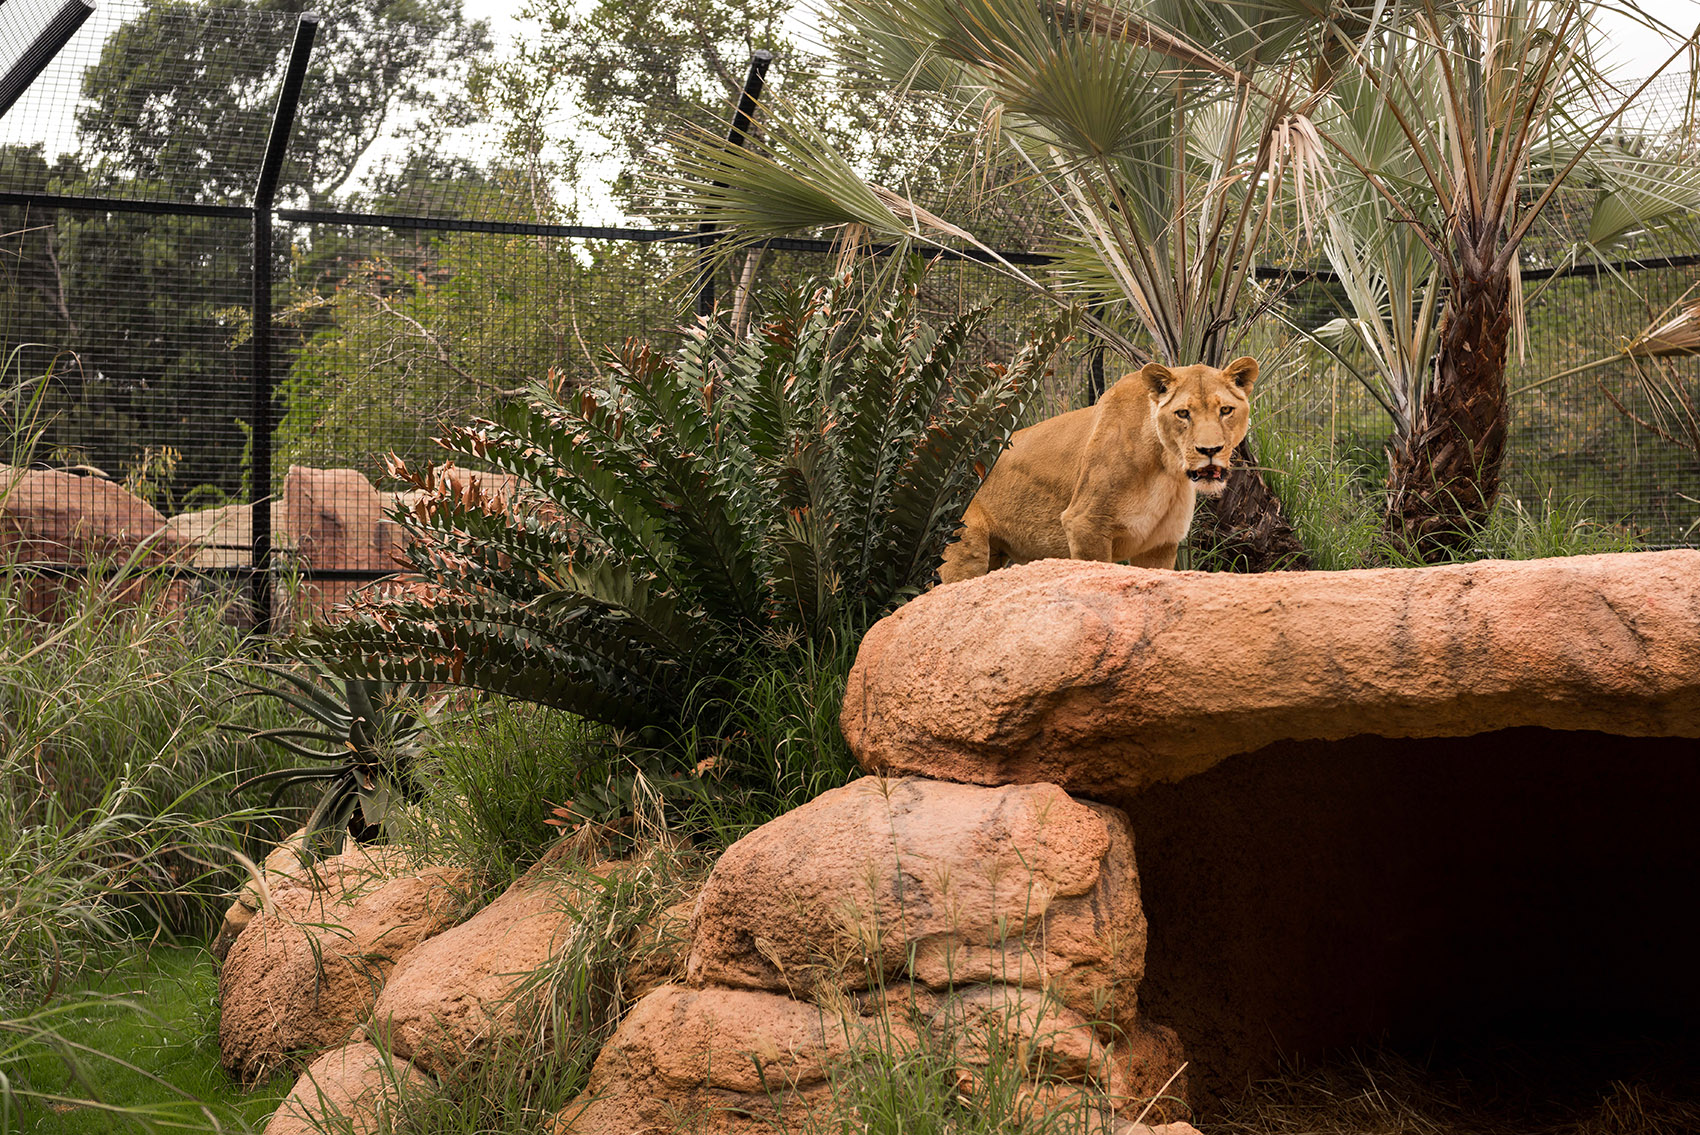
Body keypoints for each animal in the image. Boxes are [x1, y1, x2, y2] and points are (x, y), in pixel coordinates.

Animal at [937, 355, 1257, 582]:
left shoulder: (1160, 544)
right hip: (964, 549)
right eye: (1183, 414)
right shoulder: (1085, 524)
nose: (1209, 451)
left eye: (1225, 410)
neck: (1167, 469)